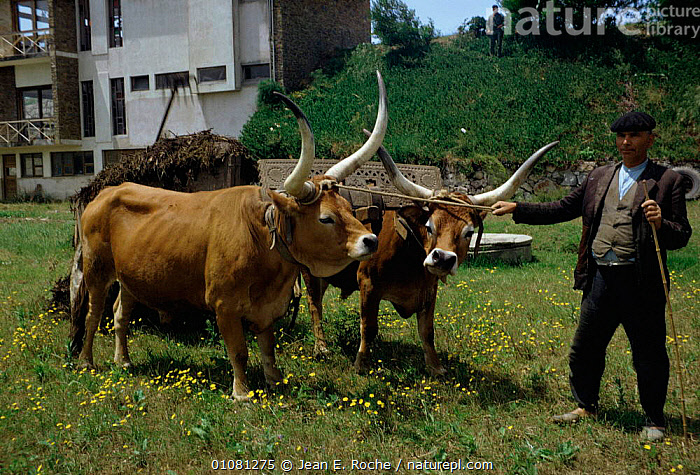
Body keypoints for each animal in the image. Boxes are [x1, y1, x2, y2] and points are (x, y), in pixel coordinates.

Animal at [73, 72, 388, 401]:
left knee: (120, 315)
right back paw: (86, 361)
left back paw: (123, 361)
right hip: (97, 271)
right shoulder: (224, 305)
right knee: (93, 315)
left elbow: (268, 350)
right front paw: (242, 392)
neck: (260, 239)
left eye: (349, 208)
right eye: (325, 218)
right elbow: (239, 351)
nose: (370, 240)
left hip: (131, 278)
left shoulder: (267, 309)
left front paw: (275, 381)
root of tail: (105, 193)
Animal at [302, 138, 559, 375]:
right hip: (309, 271)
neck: (409, 258)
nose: (443, 259)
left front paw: (435, 366)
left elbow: (427, 330)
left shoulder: (429, 288)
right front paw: (361, 364)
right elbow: (368, 326)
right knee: (314, 305)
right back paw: (321, 347)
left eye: (469, 232)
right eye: (429, 226)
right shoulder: (368, 284)